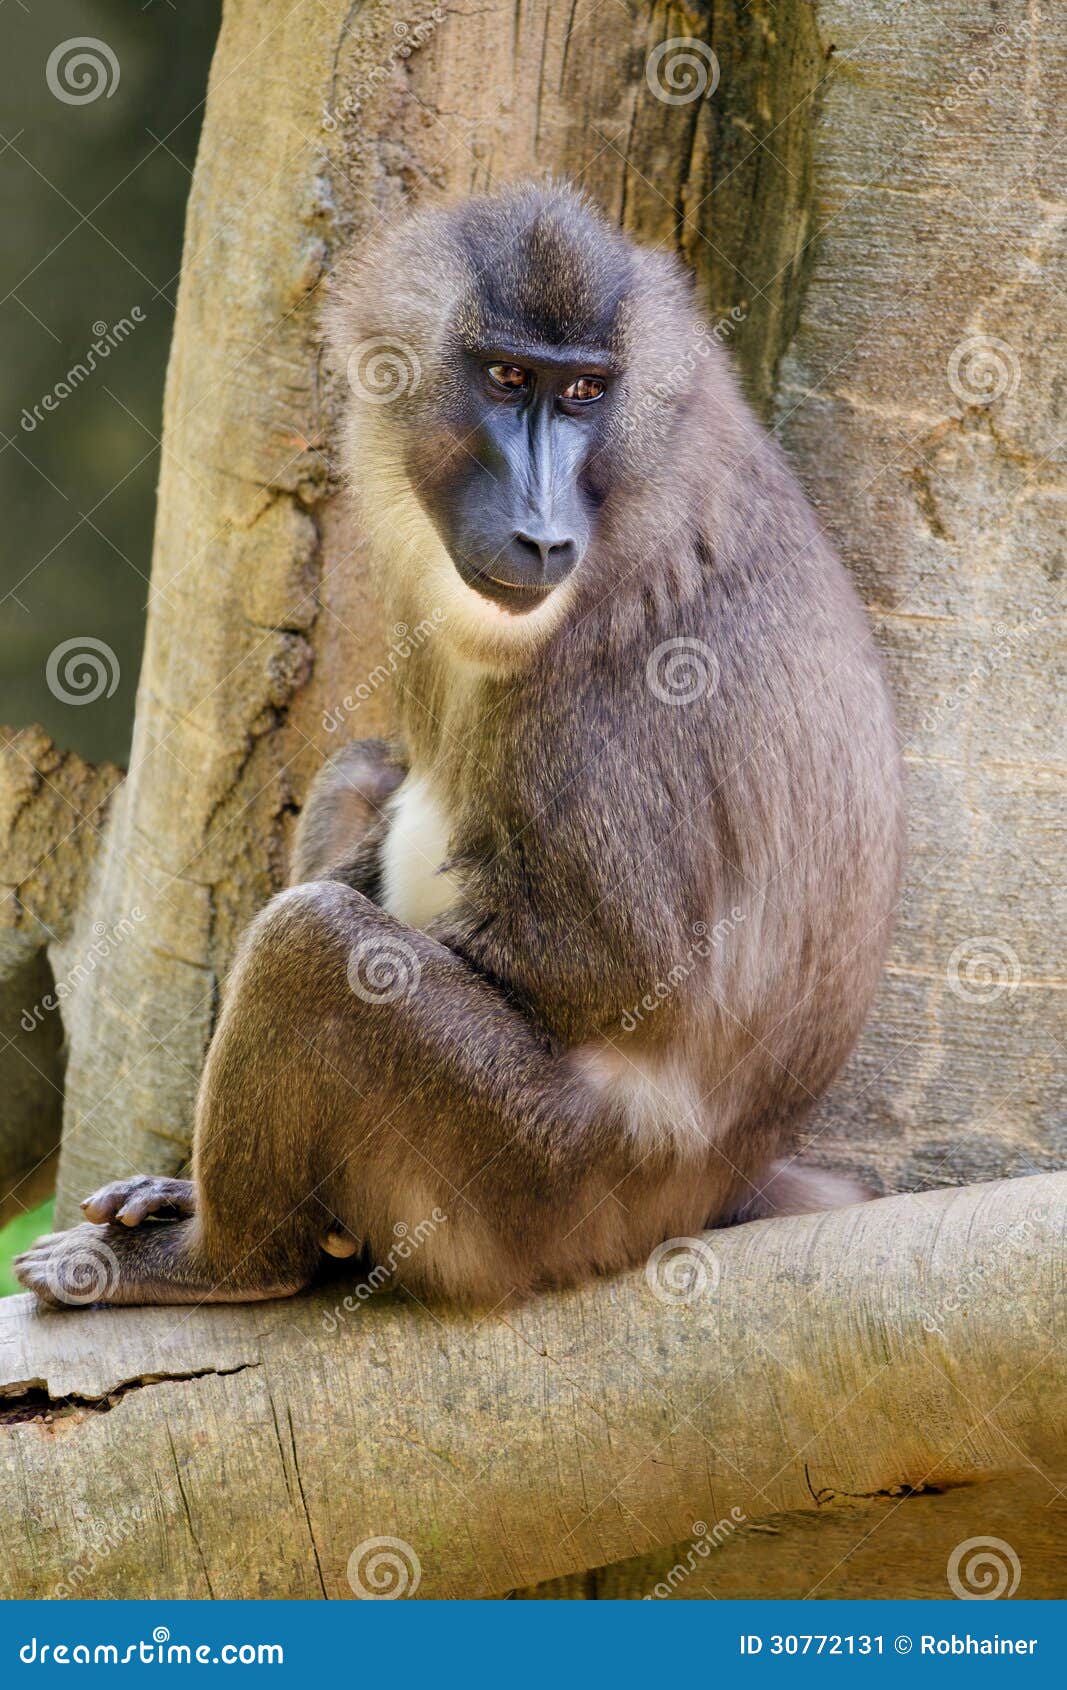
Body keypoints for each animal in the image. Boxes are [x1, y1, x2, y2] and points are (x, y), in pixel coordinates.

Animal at [16, 182, 902, 1311]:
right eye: (510, 378)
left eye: (584, 392)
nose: (540, 532)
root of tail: (707, 1192)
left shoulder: (606, 701)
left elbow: (611, 962)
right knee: (361, 777)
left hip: (527, 1182)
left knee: (316, 944)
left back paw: (227, 1259)